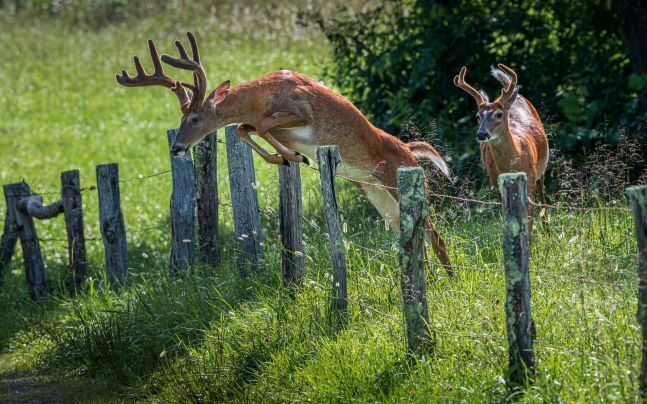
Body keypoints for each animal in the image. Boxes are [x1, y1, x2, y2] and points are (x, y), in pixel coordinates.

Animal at [116, 32, 454, 273]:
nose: (176, 147)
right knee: (412, 235)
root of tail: (410, 150)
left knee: (435, 236)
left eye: (195, 119)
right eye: (181, 118)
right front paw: (285, 157)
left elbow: (259, 125)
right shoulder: (270, 126)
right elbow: (243, 129)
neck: (260, 97)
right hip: (374, 190)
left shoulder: (302, 111)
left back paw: (447, 280)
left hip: (399, 182)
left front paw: (294, 156)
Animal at [453, 64, 549, 234]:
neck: (513, 164)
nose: (482, 134)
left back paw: (548, 230)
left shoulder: (530, 179)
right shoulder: (496, 182)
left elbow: (528, 217)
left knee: (543, 199)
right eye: (477, 116)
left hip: (541, 171)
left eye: (498, 114)